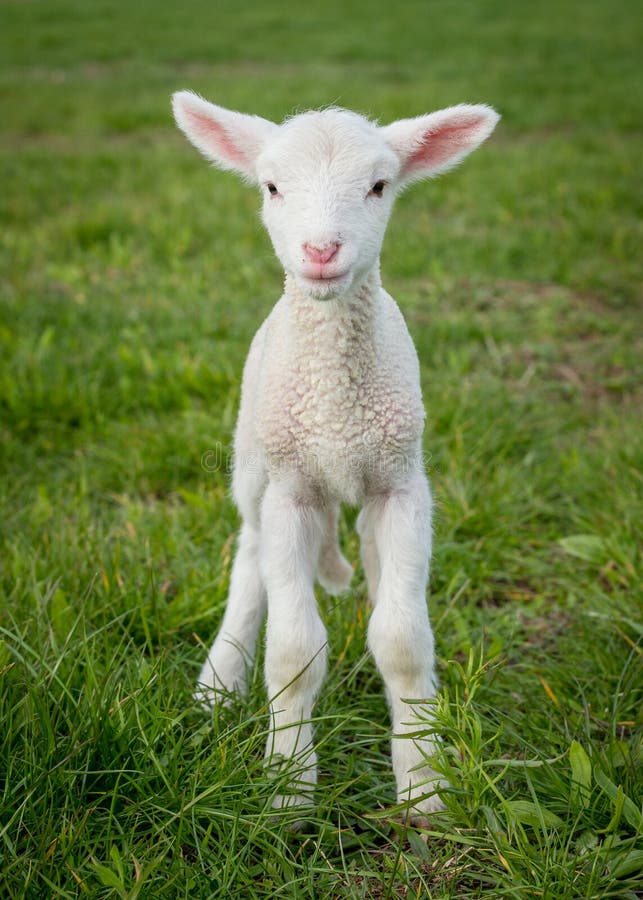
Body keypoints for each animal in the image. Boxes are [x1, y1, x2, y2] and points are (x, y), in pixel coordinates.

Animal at [172, 91, 499, 821]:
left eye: (378, 187)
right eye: (271, 186)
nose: (321, 250)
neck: (335, 410)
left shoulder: (402, 487)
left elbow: (401, 641)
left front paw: (424, 781)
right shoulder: (291, 491)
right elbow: (294, 651)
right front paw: (288, 788)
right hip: (254, 466)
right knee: (249, 557)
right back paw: (218, 685)